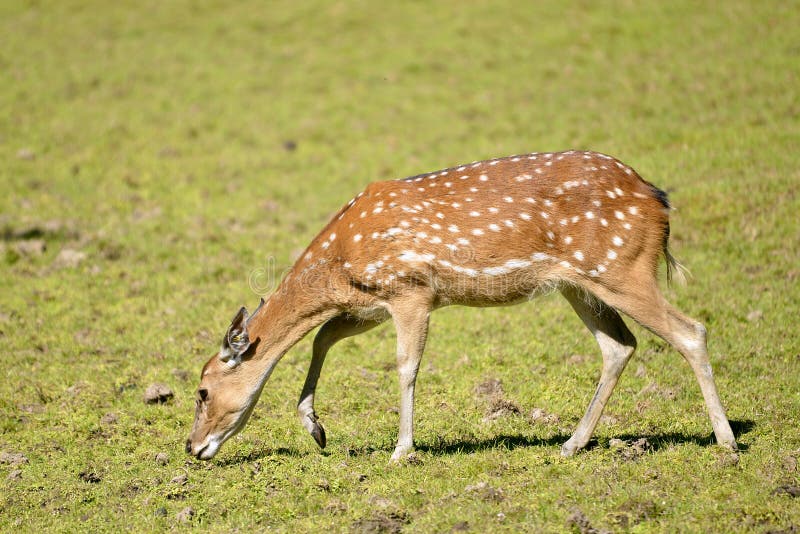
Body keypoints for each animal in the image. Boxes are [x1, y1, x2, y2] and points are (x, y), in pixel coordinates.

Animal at [186, 150, 738, 462]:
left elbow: (405, 366)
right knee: (619, 345)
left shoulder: (411, 290)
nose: (192, 448)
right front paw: (317, 430)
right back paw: (571, 444)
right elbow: (323, 337)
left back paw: (727, 442)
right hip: (579, 283)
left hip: (621, 267)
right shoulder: (370, 302)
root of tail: (658, 201)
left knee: (690, 330)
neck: (341, 261)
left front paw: (402, 450)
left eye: (202, 391)